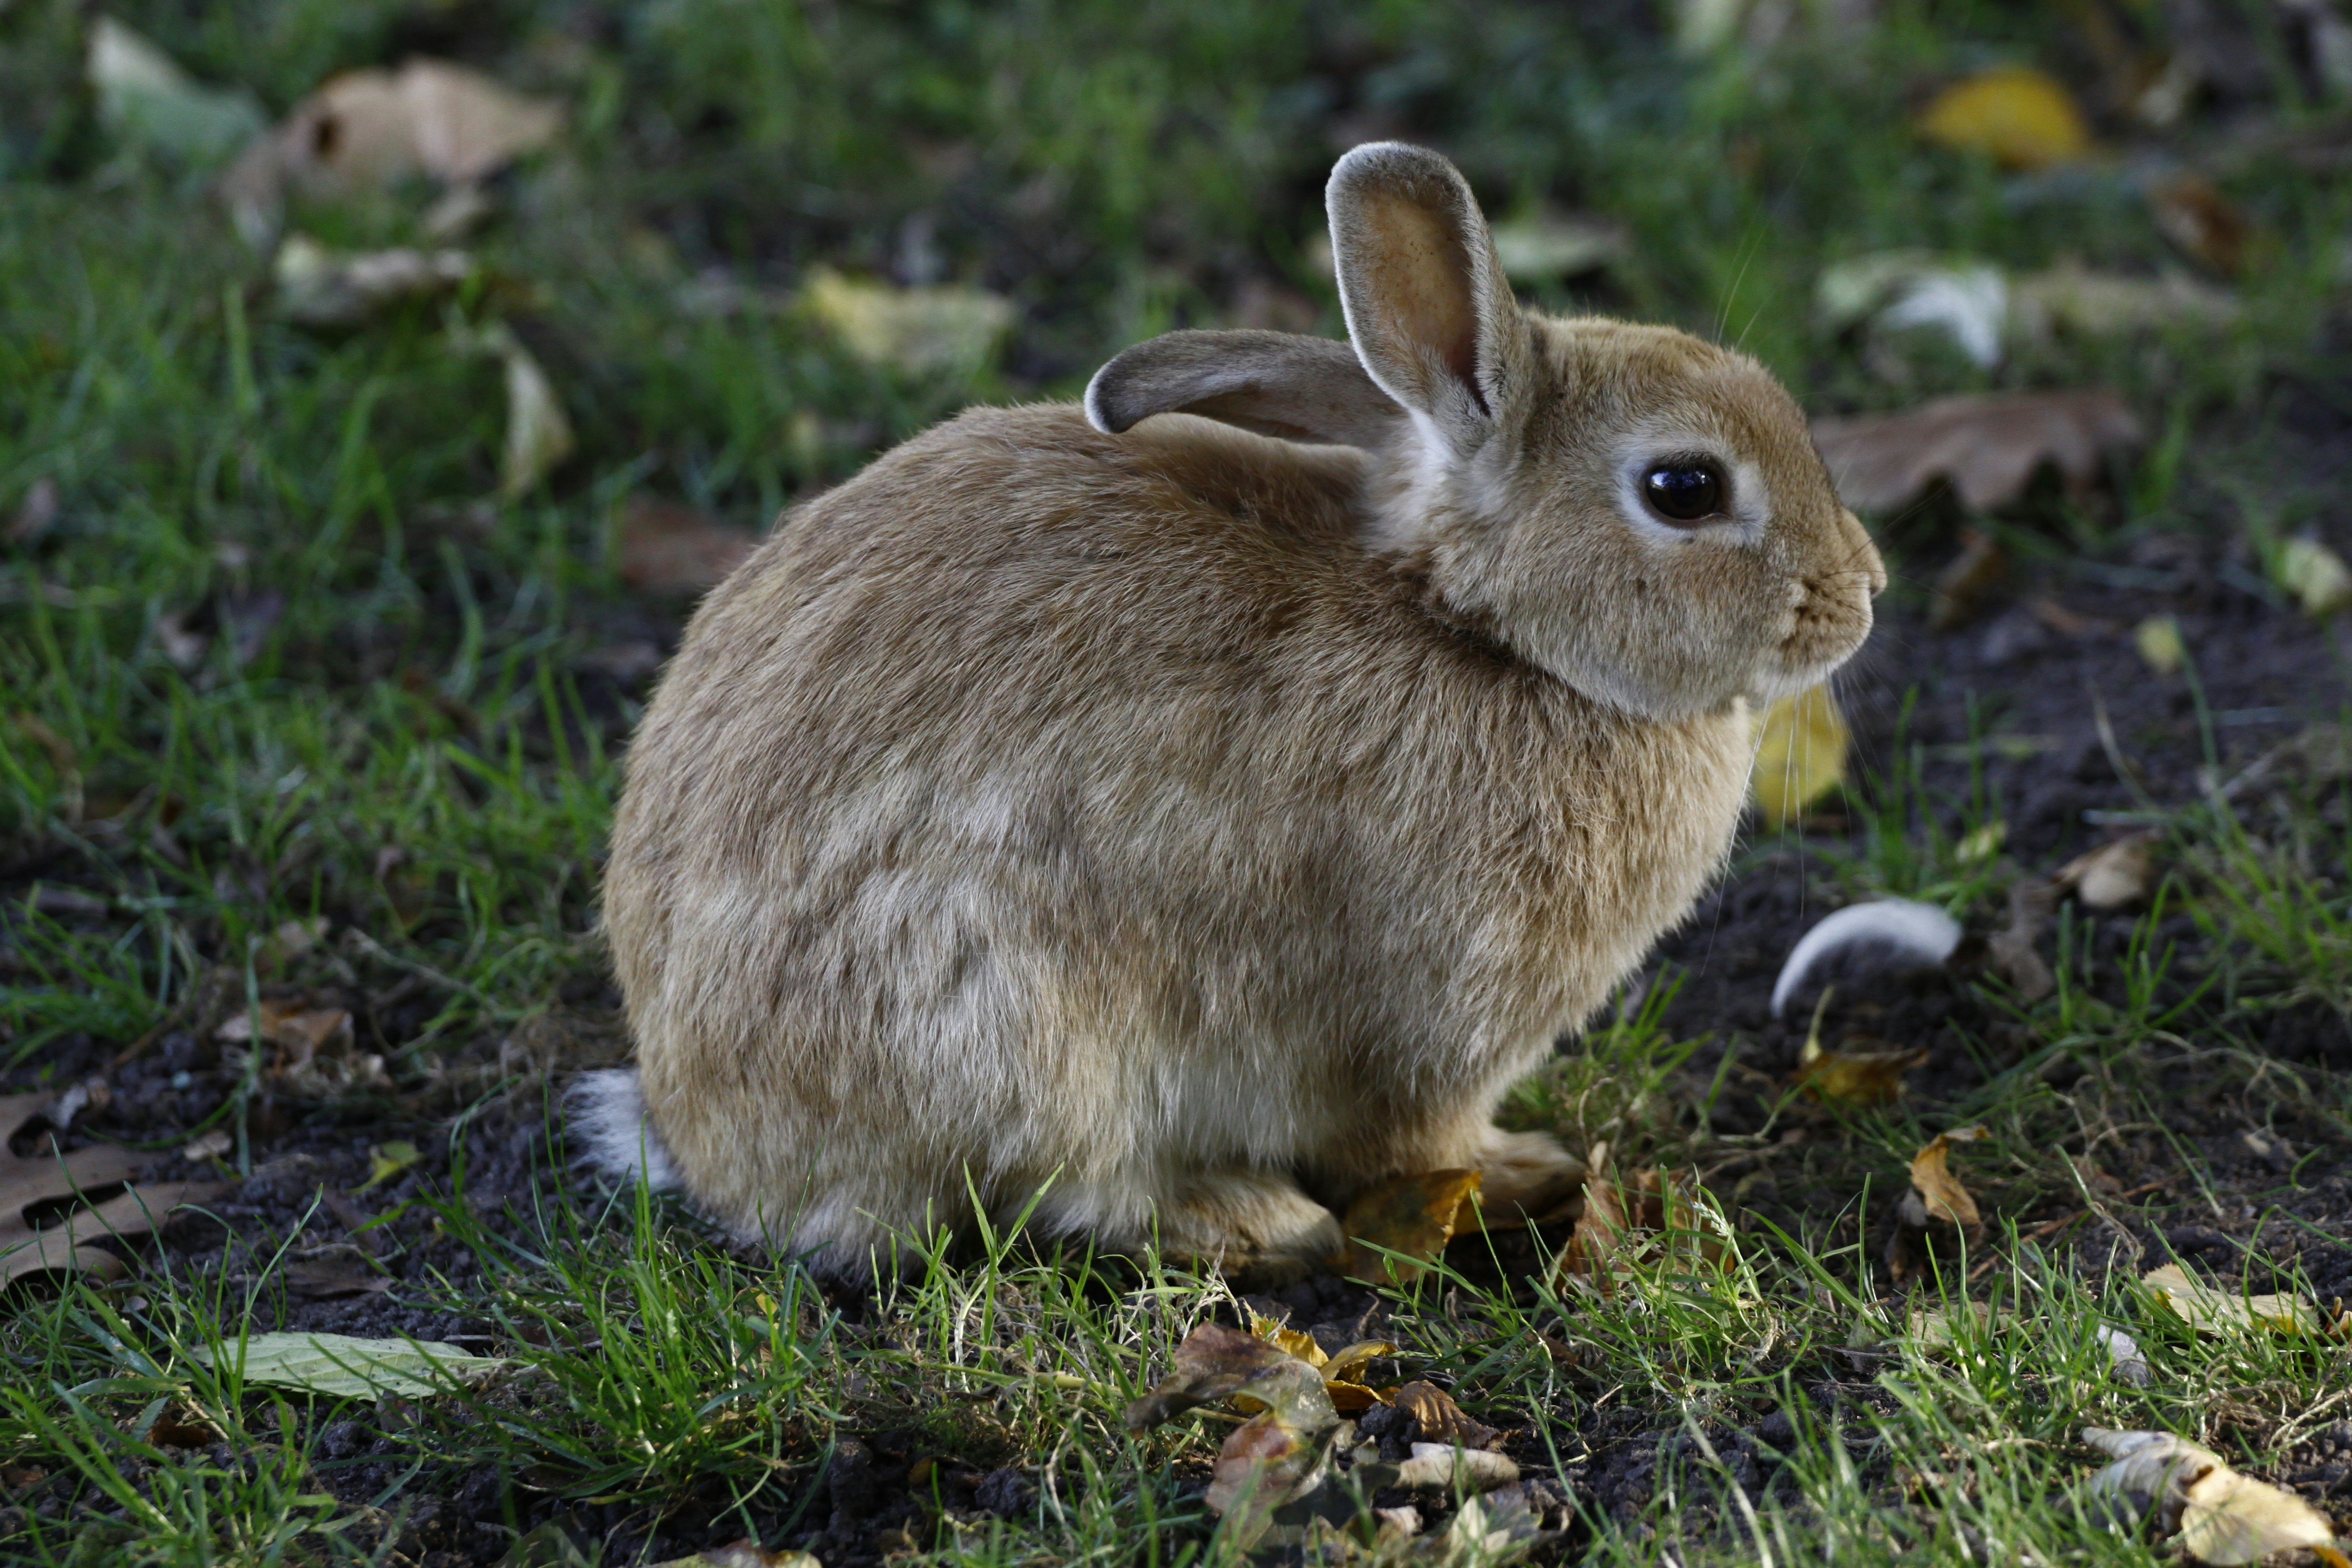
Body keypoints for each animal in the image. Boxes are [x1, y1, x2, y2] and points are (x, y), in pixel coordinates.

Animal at [577, 142, 1884, 1280]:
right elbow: (1417, 1138)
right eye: (1684, 488)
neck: (1482, 631)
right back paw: (1254, 1216)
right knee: (1075, 1187)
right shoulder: (1424, 1037)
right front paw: (1524, 1165)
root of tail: (707, 1143)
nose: (1862, 592)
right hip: (1020, 1021)